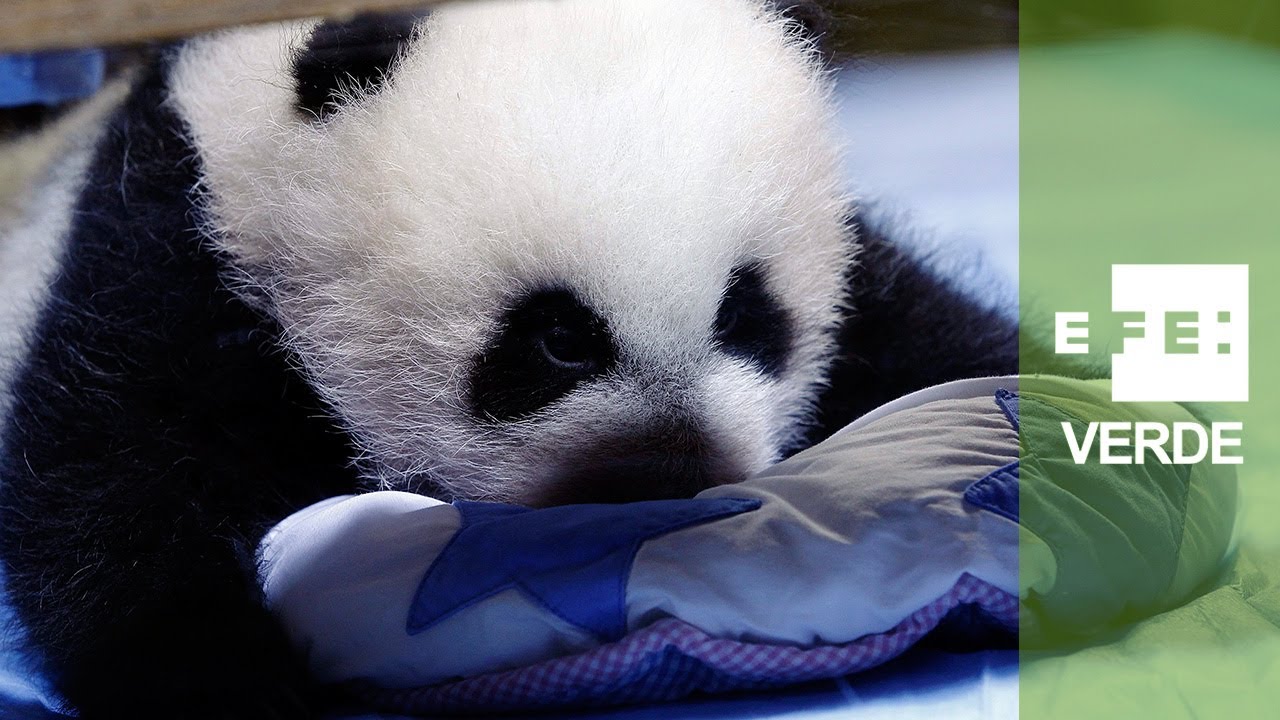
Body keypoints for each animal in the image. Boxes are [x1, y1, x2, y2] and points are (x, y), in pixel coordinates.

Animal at [0, 0, 1018, 717]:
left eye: (746, 315)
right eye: (555, 339)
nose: (662, 476)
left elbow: (926, 334)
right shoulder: (181, 242)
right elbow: (114, 471)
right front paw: (218, 679)